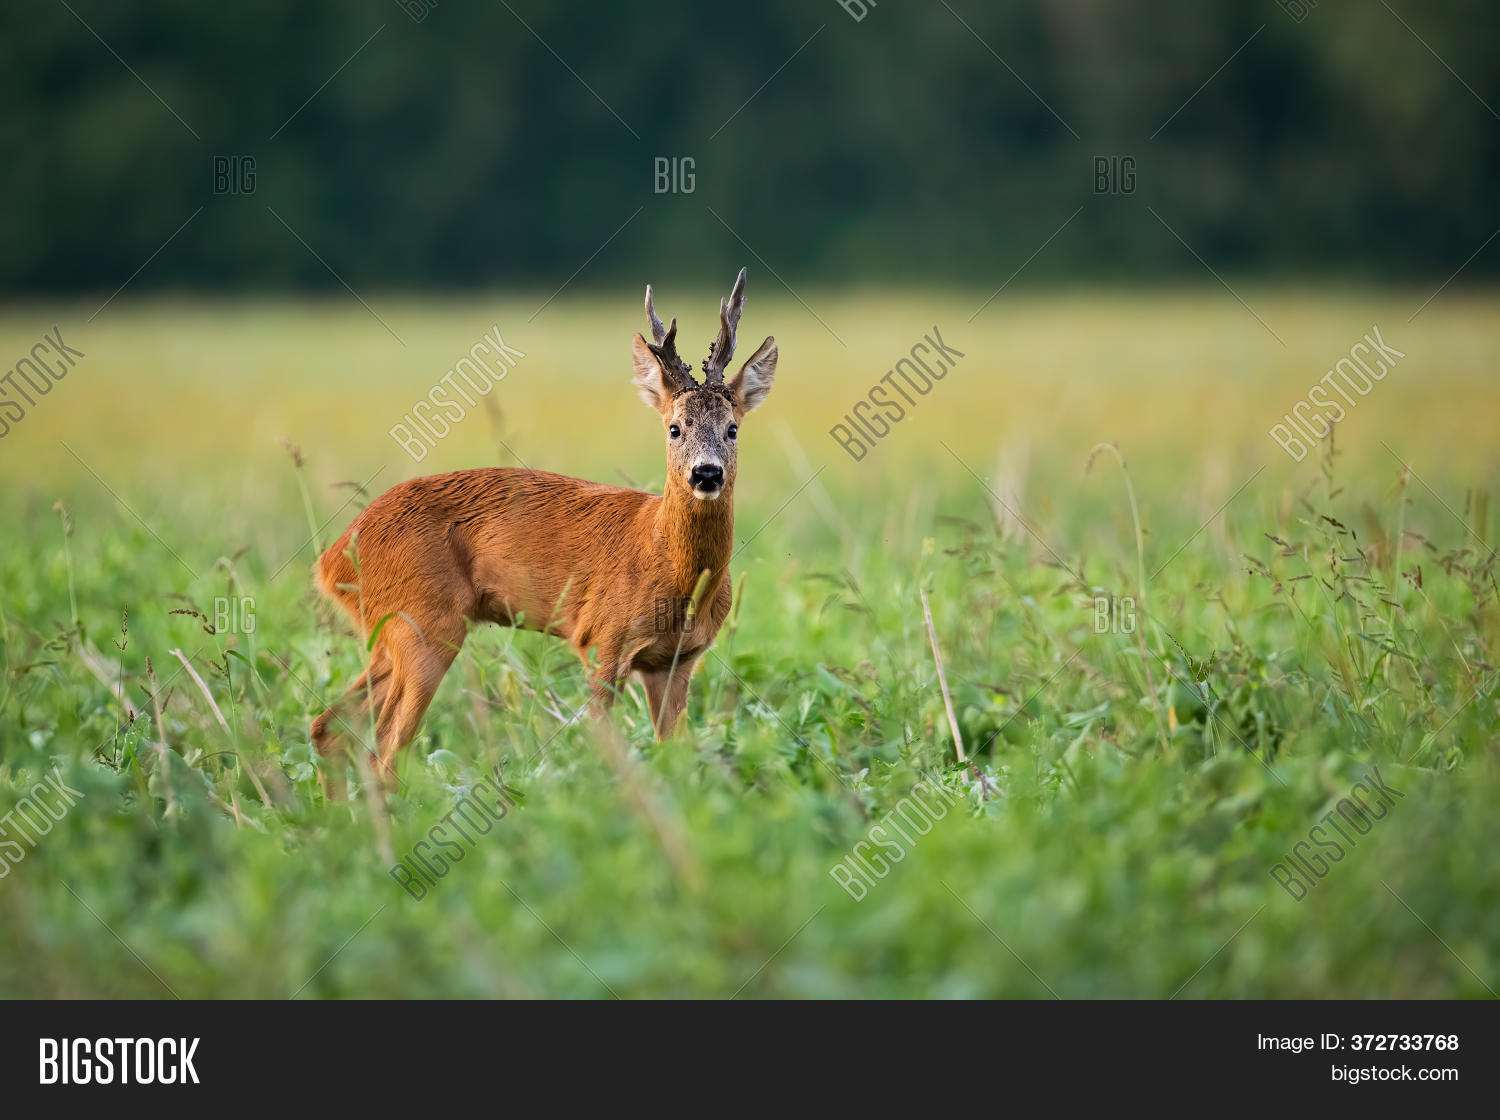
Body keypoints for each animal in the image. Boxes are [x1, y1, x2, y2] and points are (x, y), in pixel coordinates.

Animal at [309, 268, 777, 798]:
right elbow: (606, 747)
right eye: (675, 428)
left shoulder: (676, 662)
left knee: (329, 727)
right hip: (423, 625)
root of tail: (332, 558)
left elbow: (673, 755)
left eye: (733, 428)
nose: (706, 474)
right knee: (382, 750)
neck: (669, 564)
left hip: (391, 633)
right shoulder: (602, 640)